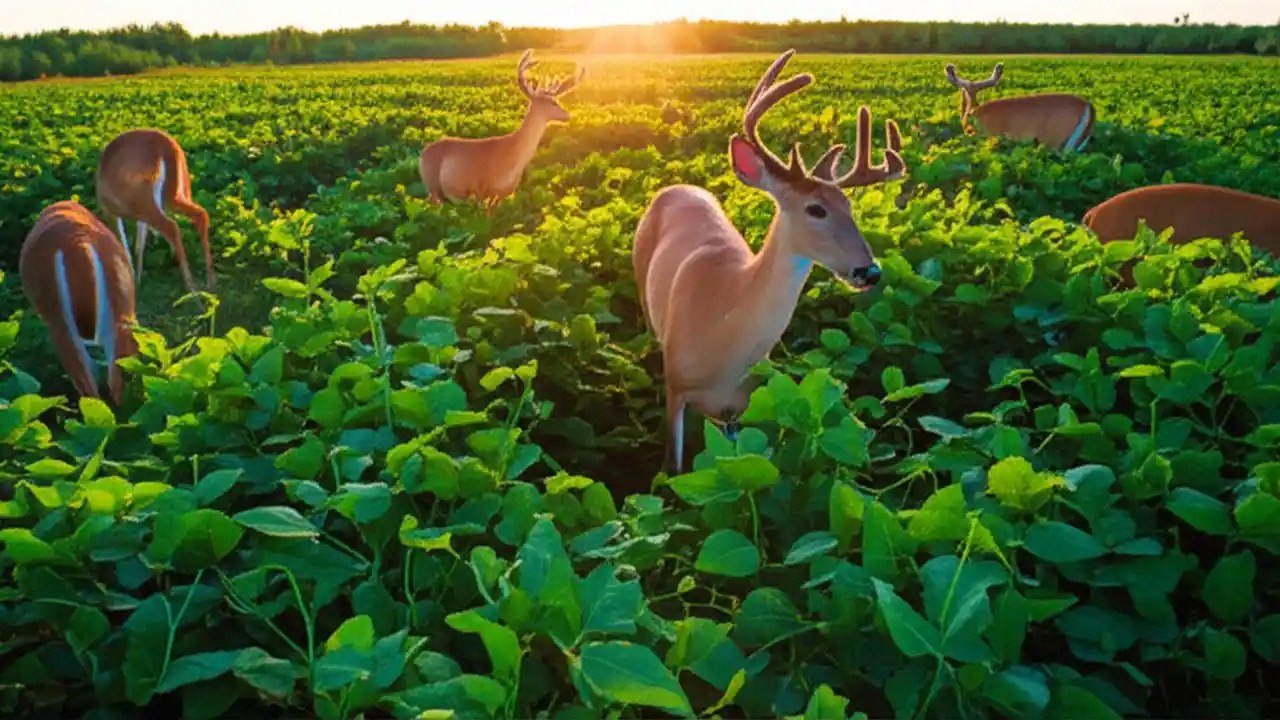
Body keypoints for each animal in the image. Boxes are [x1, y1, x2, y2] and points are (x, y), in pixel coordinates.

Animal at [95, 128, 213, 293]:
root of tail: (164, 144)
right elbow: (139, 242)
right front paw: (138, 278)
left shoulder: (112, 213)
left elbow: (125, 243)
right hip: (171, 195)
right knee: (200, 214)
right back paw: (210, 281)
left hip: (143, 201)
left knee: (171, 227)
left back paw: (192, 288)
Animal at [419, 50, 585, 213]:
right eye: (553, 102)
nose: (567, 115)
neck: (512, 156)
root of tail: (421, 155)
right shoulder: (482, 188)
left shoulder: (503, 193)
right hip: (432, 185)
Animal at [633, 49, 906, 473]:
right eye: (815, 209)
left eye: (849, 207)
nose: (870, 271)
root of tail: (678, 185)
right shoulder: (676, 384)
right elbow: (673, 470)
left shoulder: (747, 404)